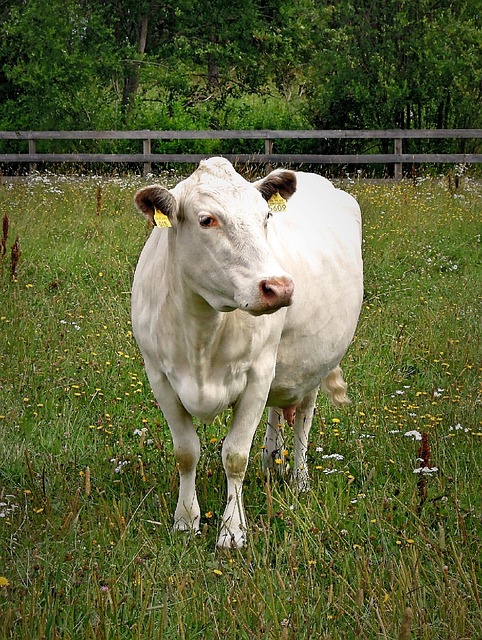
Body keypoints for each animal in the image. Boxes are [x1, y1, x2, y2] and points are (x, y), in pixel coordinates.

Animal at [131, 157, 363, 549]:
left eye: (265, 215)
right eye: (207, 219)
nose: (279, 287)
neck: (201, 335)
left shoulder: (257, 374)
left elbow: (235, 456)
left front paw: (232, 530)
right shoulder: (159, 376)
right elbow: (186, 452)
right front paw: (186, 520)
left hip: (315, 363)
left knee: (303, 420)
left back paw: (299, 479)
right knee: (278, 411)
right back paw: (271, 459)